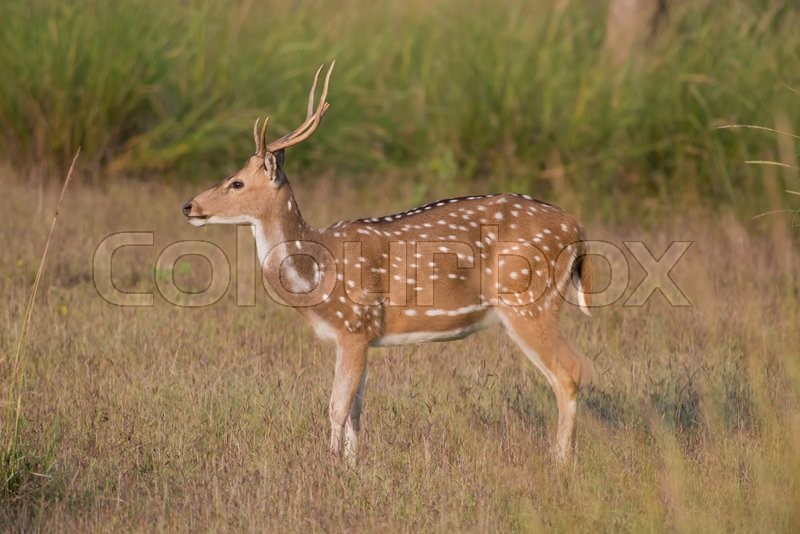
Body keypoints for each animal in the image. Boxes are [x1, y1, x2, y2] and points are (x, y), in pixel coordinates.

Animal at [182, 63, 594, 465]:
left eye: (236, 183)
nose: (189, 206)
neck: (316, 273)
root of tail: (577, 229)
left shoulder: (353, 323)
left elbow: (336, 407)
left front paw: (328, 465)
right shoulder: (363, 335)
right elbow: (355, 410)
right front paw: (352, 467)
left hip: (529, 302)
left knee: (569, 371)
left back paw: (560, 462)